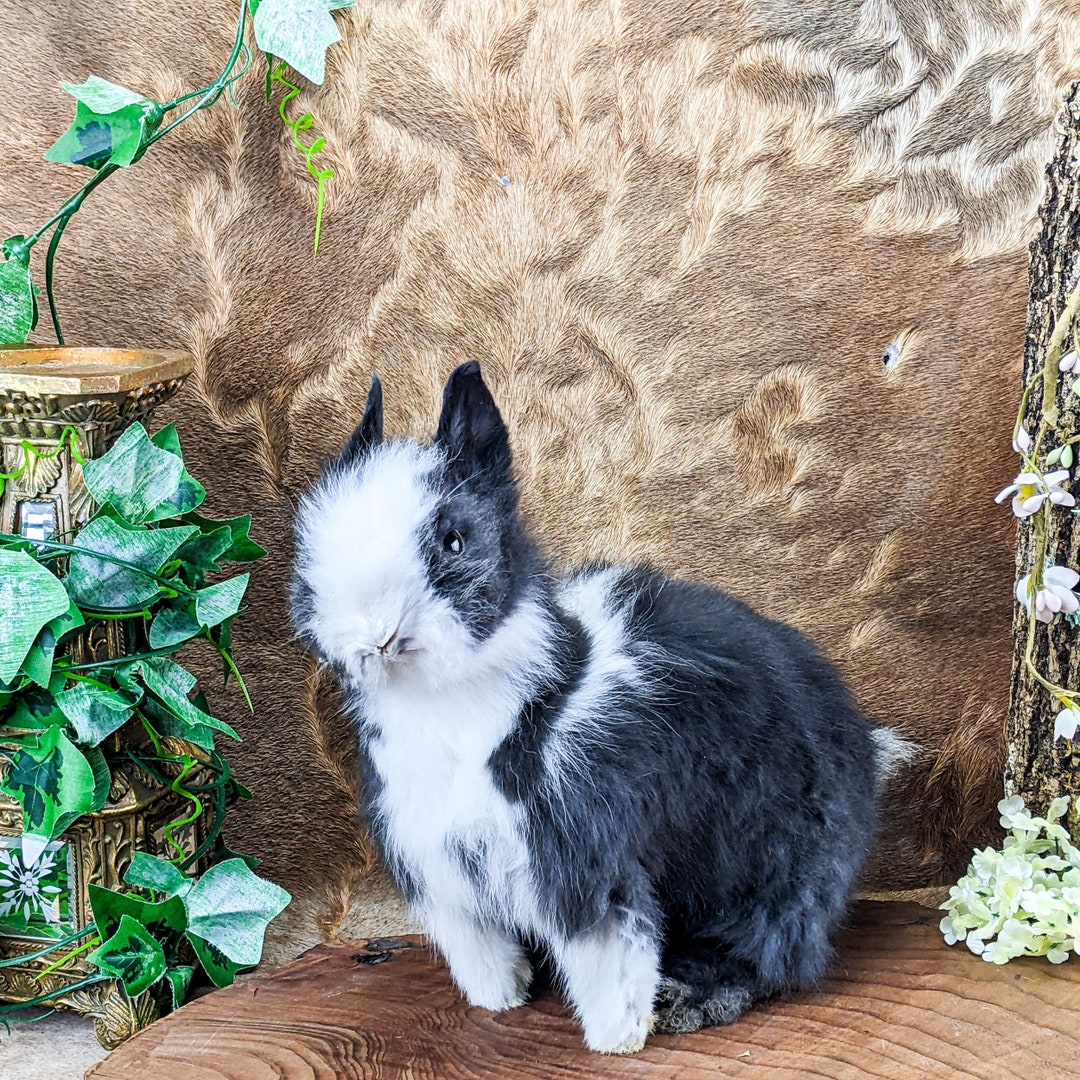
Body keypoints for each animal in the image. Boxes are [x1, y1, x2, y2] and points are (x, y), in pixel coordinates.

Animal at [291, 361, 907, 1054]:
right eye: (315, 540)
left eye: (452, 542)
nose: (376, 633)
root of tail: (865, 749)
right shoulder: (440, 864)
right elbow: (478, 948)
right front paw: (502, 999)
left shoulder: (584, 859)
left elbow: (609, 952)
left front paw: (618, 1038)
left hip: (776, 875)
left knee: (770, 955)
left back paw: (688, 1002)